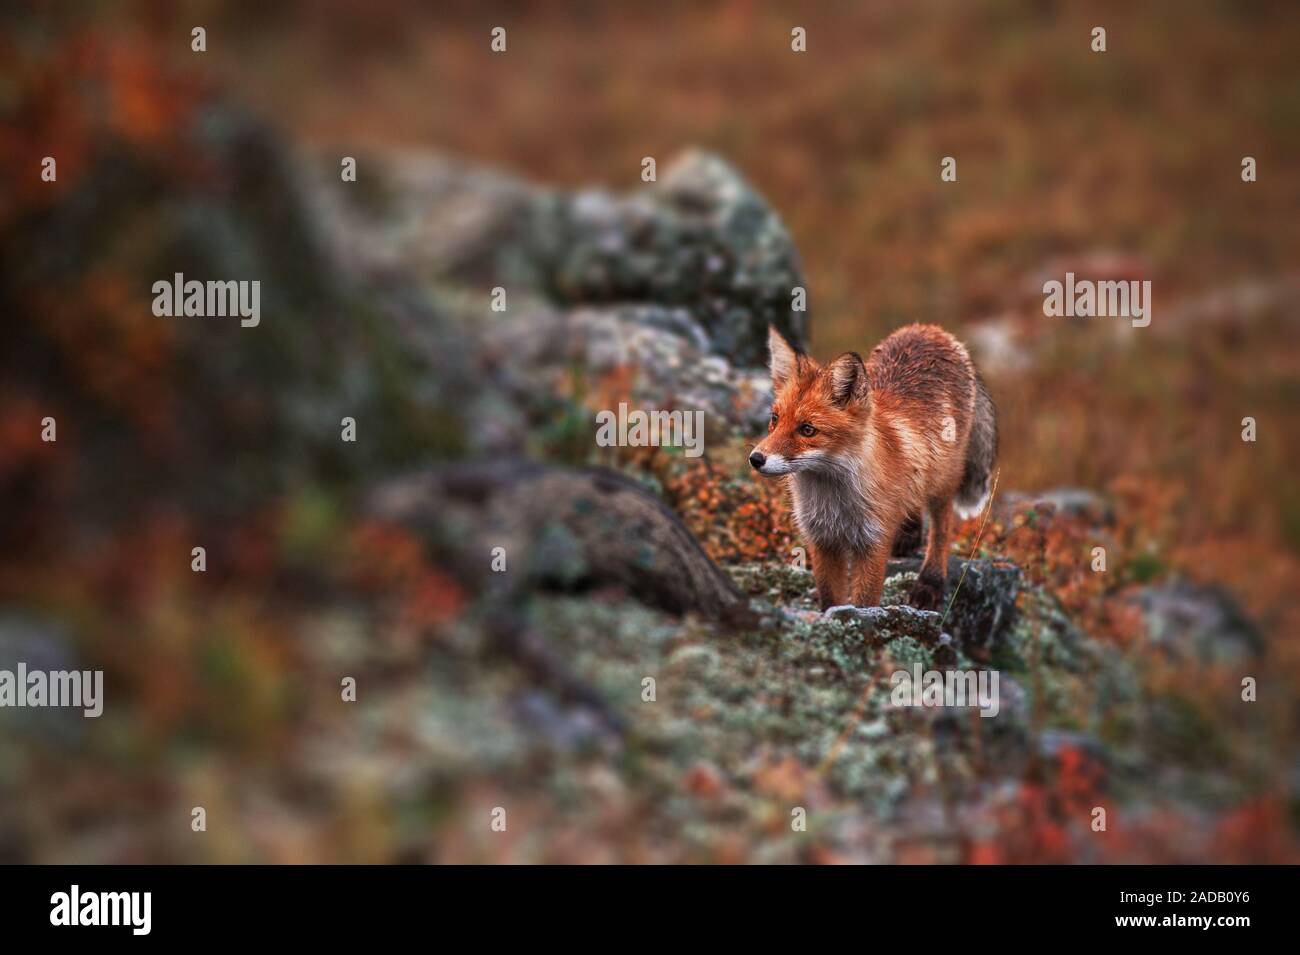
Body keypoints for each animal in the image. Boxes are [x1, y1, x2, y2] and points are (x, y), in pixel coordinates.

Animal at [749, 323, 997, 612]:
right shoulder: (821, 539)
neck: (835, 503)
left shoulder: (873, 541)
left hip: (945, 477)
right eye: (774, 419)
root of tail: (928, 328)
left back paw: (931, 580)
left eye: (808, 430)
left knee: (941, 527)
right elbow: (830, 599)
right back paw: (909, 533)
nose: (756, 458)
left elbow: (865, 601)